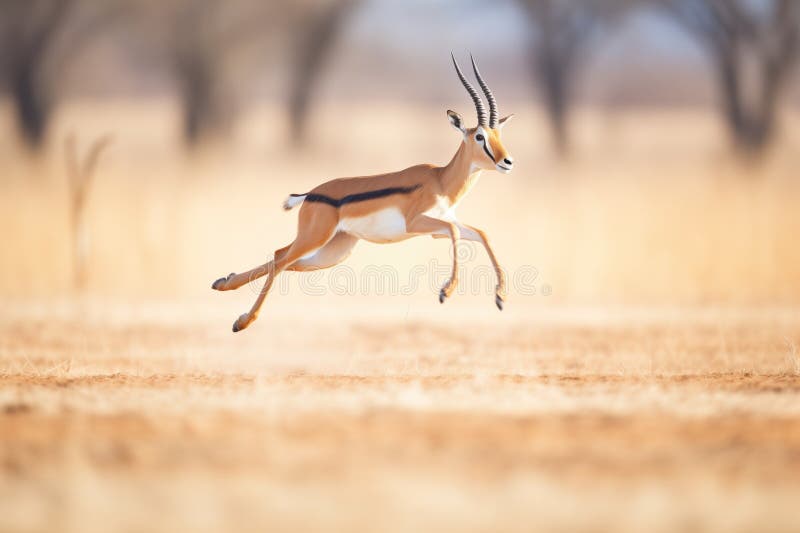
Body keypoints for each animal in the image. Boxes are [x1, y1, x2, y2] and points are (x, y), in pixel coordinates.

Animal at [213, 53, 515, 332]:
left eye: (498, 134)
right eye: (479, 137)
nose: (507, 161)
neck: (441, 180)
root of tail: (309, 194)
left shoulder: (439, 225)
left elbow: (481, 234)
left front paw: (500, 297)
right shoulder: (418, 223)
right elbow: (456, 233)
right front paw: (445, 291)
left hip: (334, 250)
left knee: (287, 261)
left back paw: (224, 284)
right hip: (316, 238)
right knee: (280, 259)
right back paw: (243, 321)